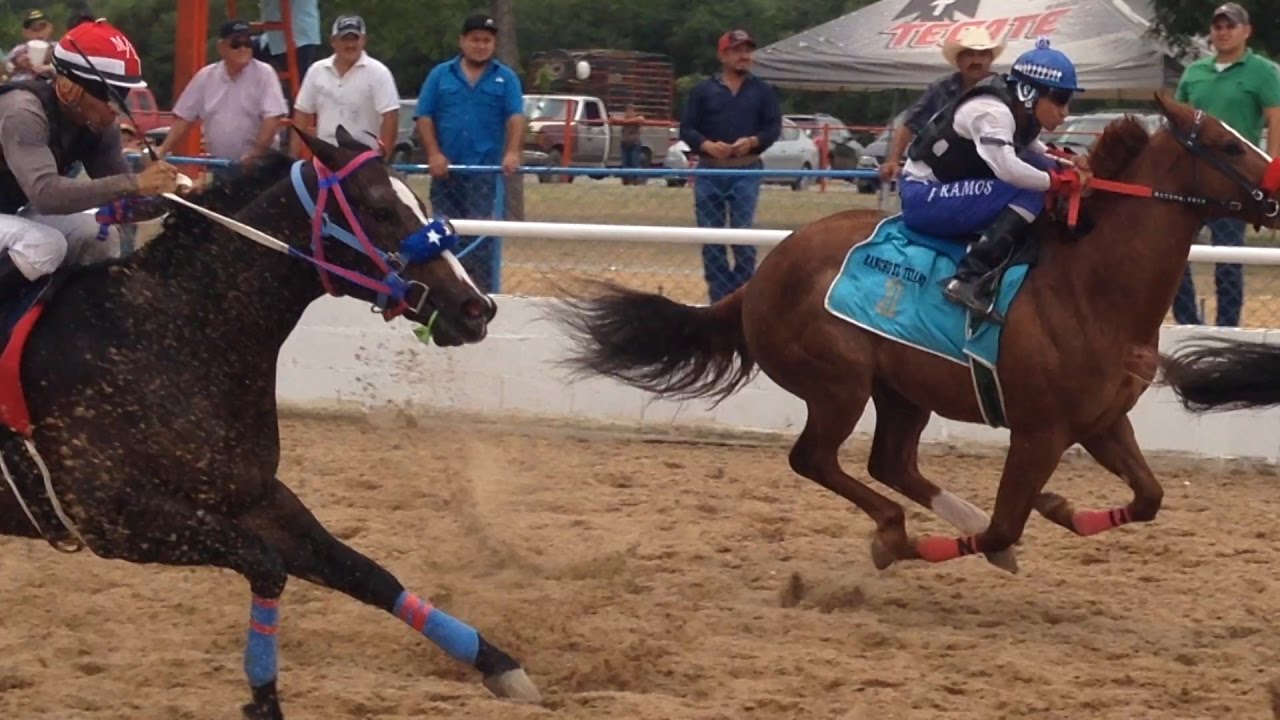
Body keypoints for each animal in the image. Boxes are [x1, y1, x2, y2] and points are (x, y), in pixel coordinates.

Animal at [0, 127, 540, 719]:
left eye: (420, 204)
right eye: (379, 209)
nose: (475, 308)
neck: (166, 334)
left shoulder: (254, 494)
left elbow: (365, 571)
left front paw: (498, 663)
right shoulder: (111, 516)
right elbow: (266, 566)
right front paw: (263, 700)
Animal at [552, 95, 1280, 574]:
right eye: (1228, 146)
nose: (1275, 192)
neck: (1092, 286)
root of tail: (759, 279)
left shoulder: (1101, 422)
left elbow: (1150, 497)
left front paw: (1057, 506)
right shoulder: (1040, 430)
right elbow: (1002, 527)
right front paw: (955, 538)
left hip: (901, 390)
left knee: (890, 462)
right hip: (839, 385)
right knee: (815, 460)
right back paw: (895, 533)